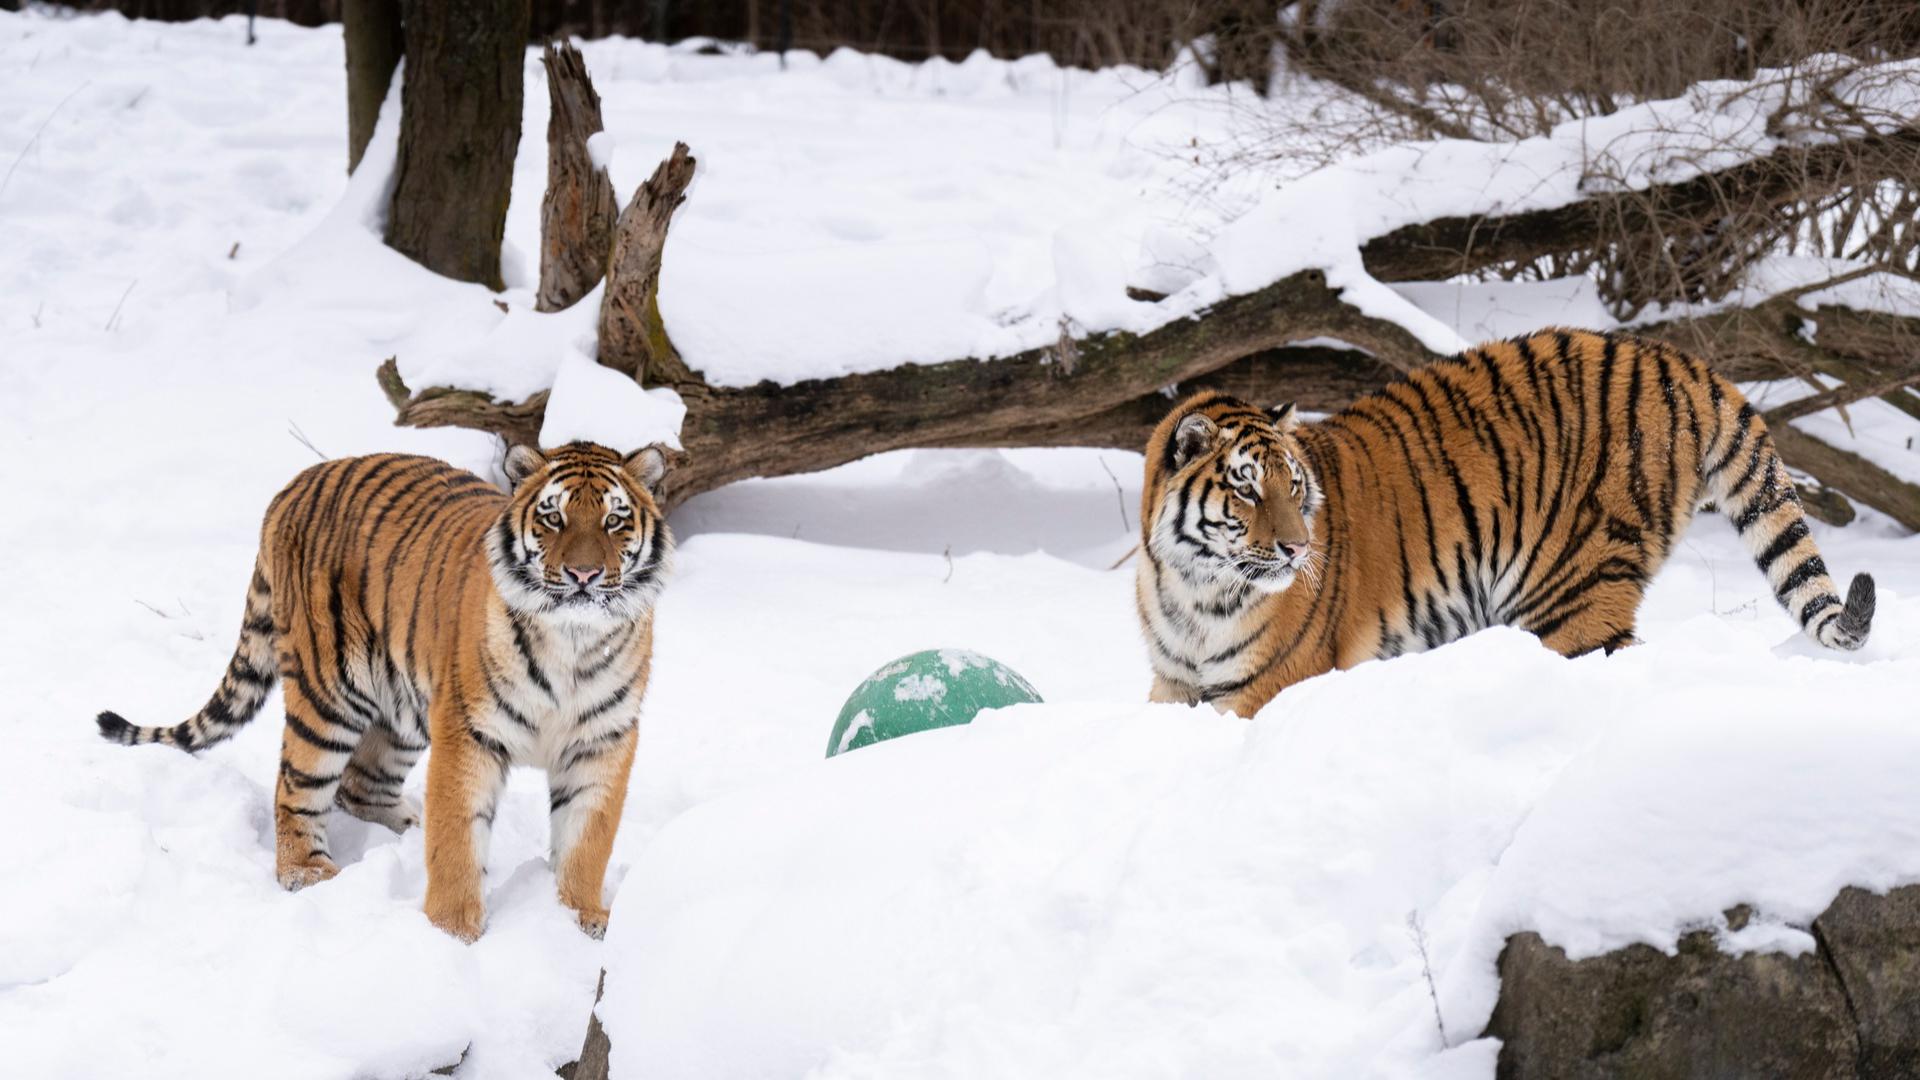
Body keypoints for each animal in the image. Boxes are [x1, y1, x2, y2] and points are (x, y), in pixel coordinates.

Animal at [96, 441, 673, 942]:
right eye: (553, 518)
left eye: (615, 520)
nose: (584, 574)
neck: (573, 640)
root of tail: (293, 485)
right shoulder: (469, 731)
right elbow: (457, 839)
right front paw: (451, 933)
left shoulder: (602, 741)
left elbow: (586, 841)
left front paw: (579, 919)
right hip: (329, 694)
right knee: (297, 787)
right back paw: (308, 873)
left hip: (404, 708)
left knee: (359, 784)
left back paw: (408, 824)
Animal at [1137, 327, 1876, 718]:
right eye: (1247, 490)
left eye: (1292, 486)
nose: (1296, 550)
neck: (1191, 589)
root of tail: (1681, 363)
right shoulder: (1172, 685)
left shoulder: (1265, 685)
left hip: (1570, 591)